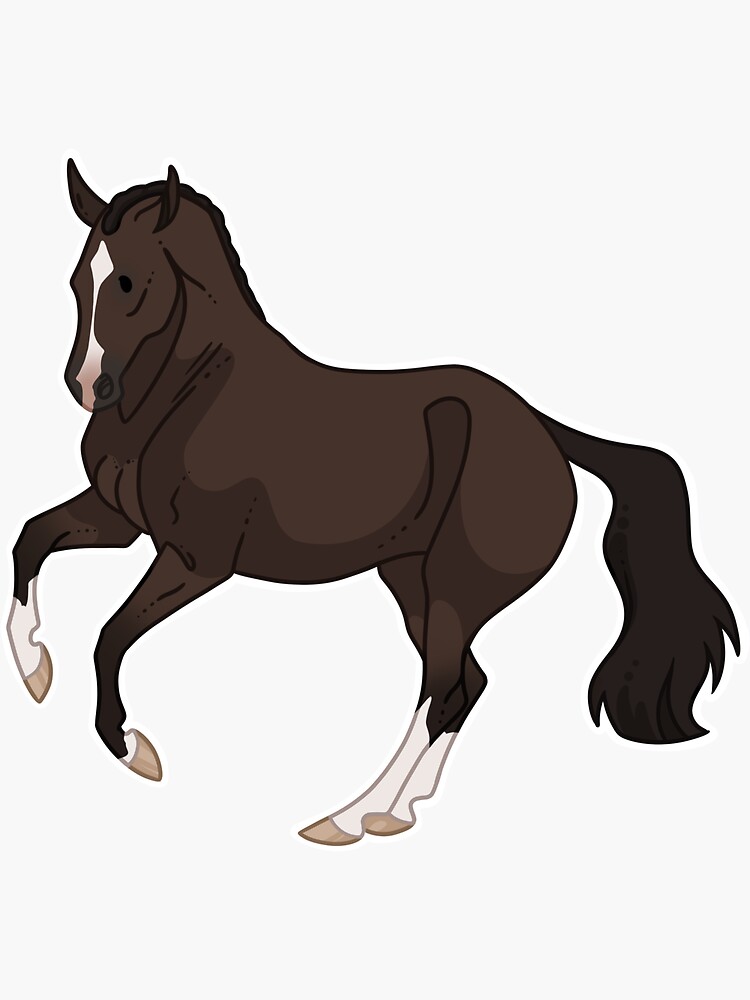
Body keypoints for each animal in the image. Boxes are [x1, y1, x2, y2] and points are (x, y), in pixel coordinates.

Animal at [7, 161, 740, 846]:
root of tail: (541, 429)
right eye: (77, 279)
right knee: (466, 683)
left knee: (443, 688)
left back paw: (352, 817)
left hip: (454, 591)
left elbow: (110, 635)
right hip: (412, 581)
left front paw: (133, 750)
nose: (87, 387)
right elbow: (31, 539)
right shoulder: (121, 522)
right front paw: (34, 670)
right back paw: (395, 813)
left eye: (130, 282)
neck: (191, 393)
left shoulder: (196, 559)